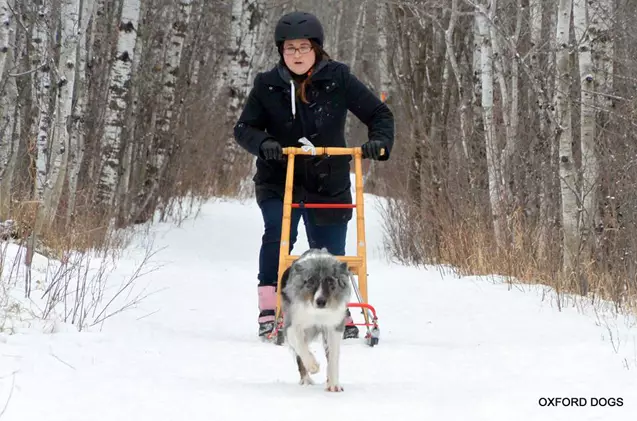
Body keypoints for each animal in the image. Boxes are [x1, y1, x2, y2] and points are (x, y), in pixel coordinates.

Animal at [280, 246, 352, 390]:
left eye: (330, 281)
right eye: (311, 281)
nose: (321, 301)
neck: (317, 313)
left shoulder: (334, 326)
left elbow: (333, 357)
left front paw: (334, 385)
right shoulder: (292, 324)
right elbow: (300, 346)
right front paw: (313, 366)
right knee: (300, 354)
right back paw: (306, 379)